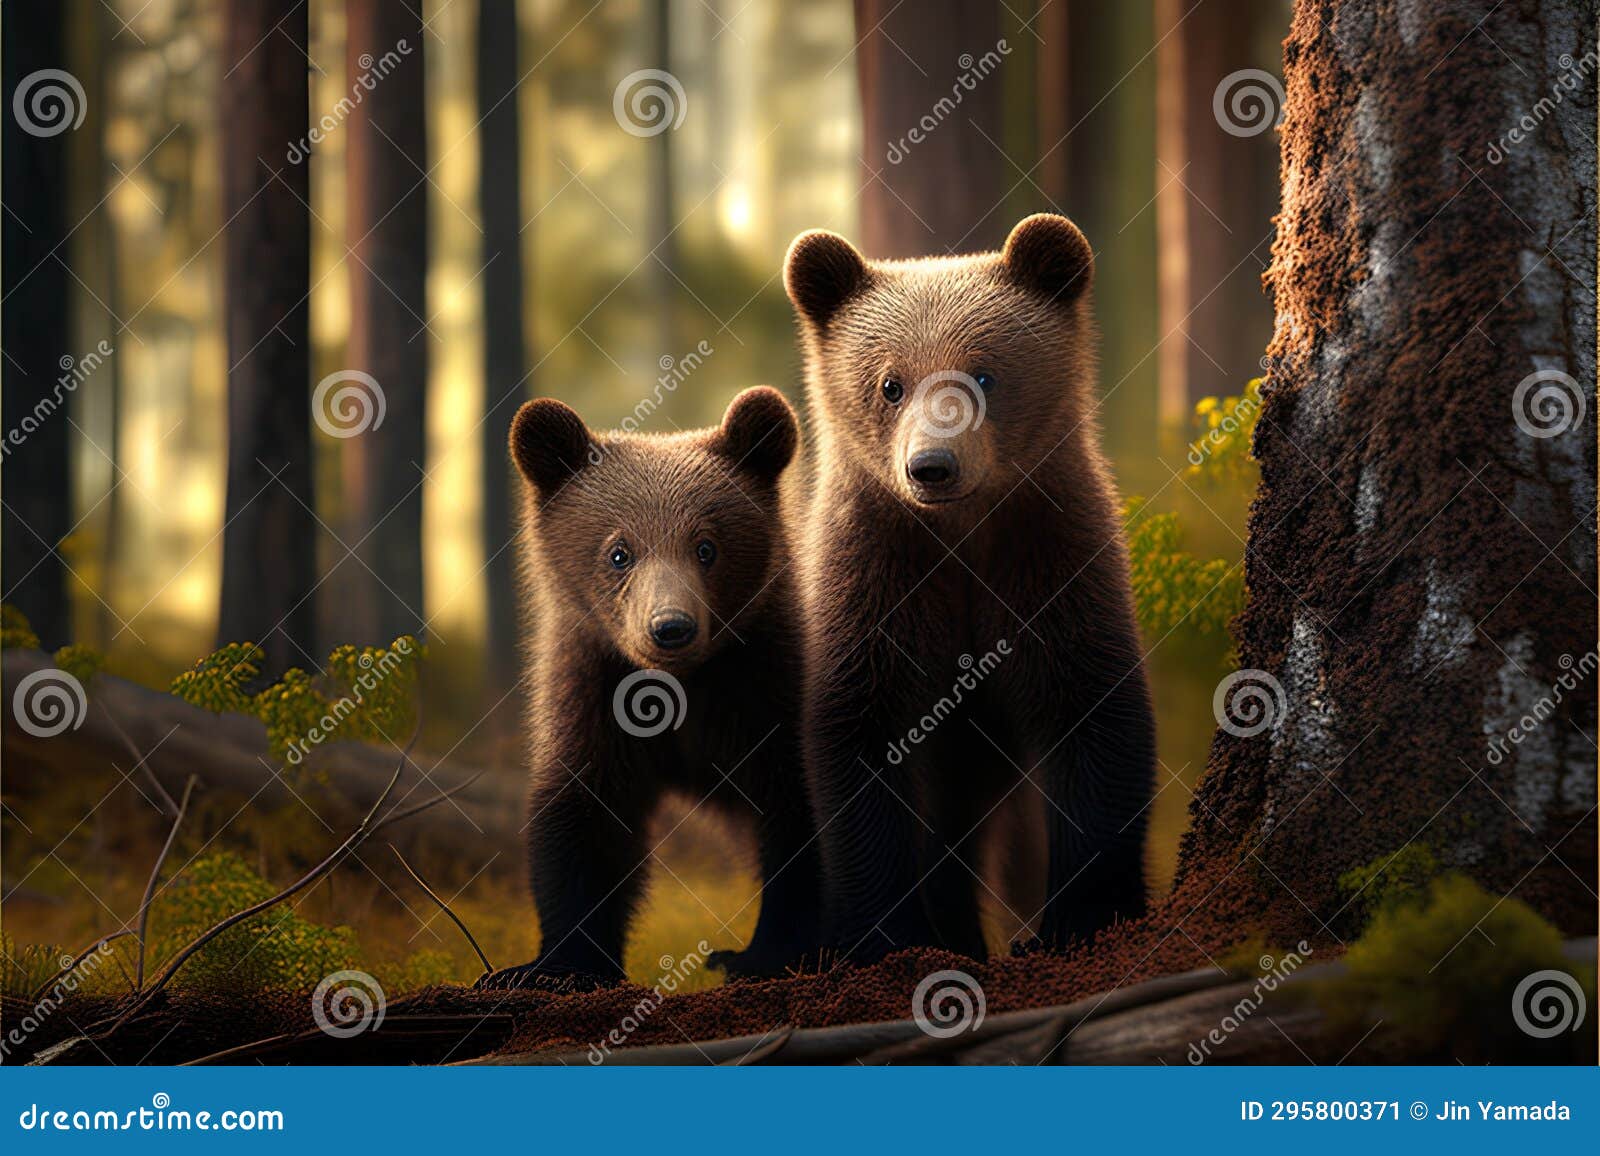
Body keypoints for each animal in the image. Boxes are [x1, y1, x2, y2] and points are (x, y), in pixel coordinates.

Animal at [477, 386, 822, 989]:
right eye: (619, 551)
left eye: (707, 546)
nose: (670, 627)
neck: (677, 689)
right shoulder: (593, 687)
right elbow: (584, 817)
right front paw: (553, 966)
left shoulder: (768, 688)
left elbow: (794, 813)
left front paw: (764, 952)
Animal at [782, 212, 1155, 964]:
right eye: (890, 384)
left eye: (985, 373)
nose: (933, 465)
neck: (959, 539)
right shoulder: (876, 581)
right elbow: (859, 741)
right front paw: (887, 936)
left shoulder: (1050, 562)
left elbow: (1095, 719)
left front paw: (1080, 916)